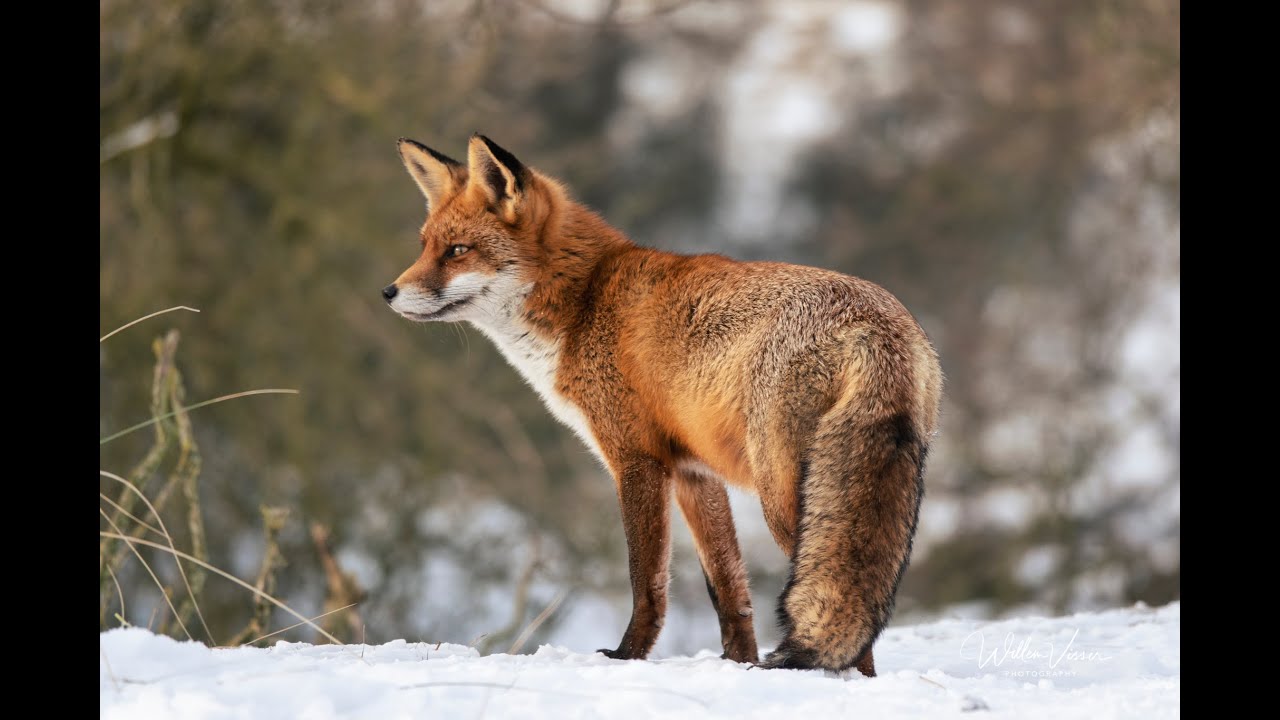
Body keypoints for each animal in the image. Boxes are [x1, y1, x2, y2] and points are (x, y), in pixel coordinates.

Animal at [383, 133, 942, 675]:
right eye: (425, 246)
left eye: (458, 250)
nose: (388, 292)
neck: (583, 304)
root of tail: (878, 327)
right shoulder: (695, 471)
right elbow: (728, 591)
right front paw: (738, 666)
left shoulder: (637, 459)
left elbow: (646, 582)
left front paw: (627, 657)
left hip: (787, 499)